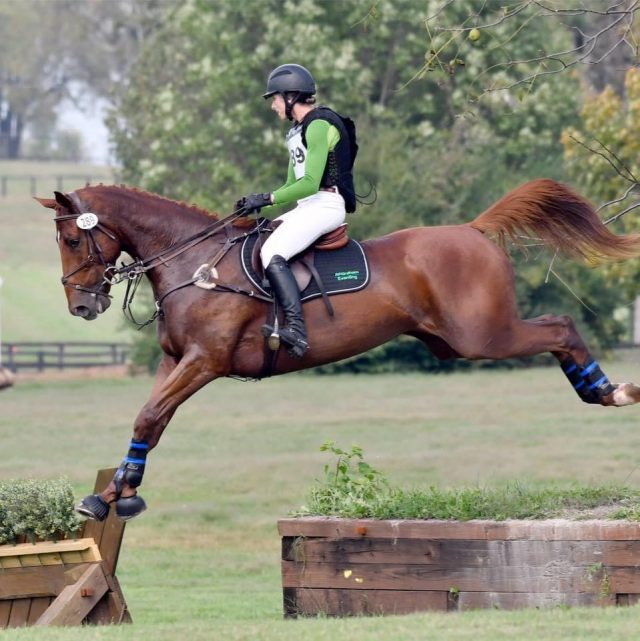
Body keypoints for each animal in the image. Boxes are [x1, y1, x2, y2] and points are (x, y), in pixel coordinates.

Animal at [36, 178, 640, 521]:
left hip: (483, 336)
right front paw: (117, 492)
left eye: (72, 239)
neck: (195, 262)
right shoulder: (175, 361)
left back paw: (610, 391)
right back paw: (601, 389)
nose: (81, 307)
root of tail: (473, 230)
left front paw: (118, 493)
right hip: (454, 342)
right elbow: (151, 420)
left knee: (560, 326)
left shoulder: (205, 361)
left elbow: (148, 416)